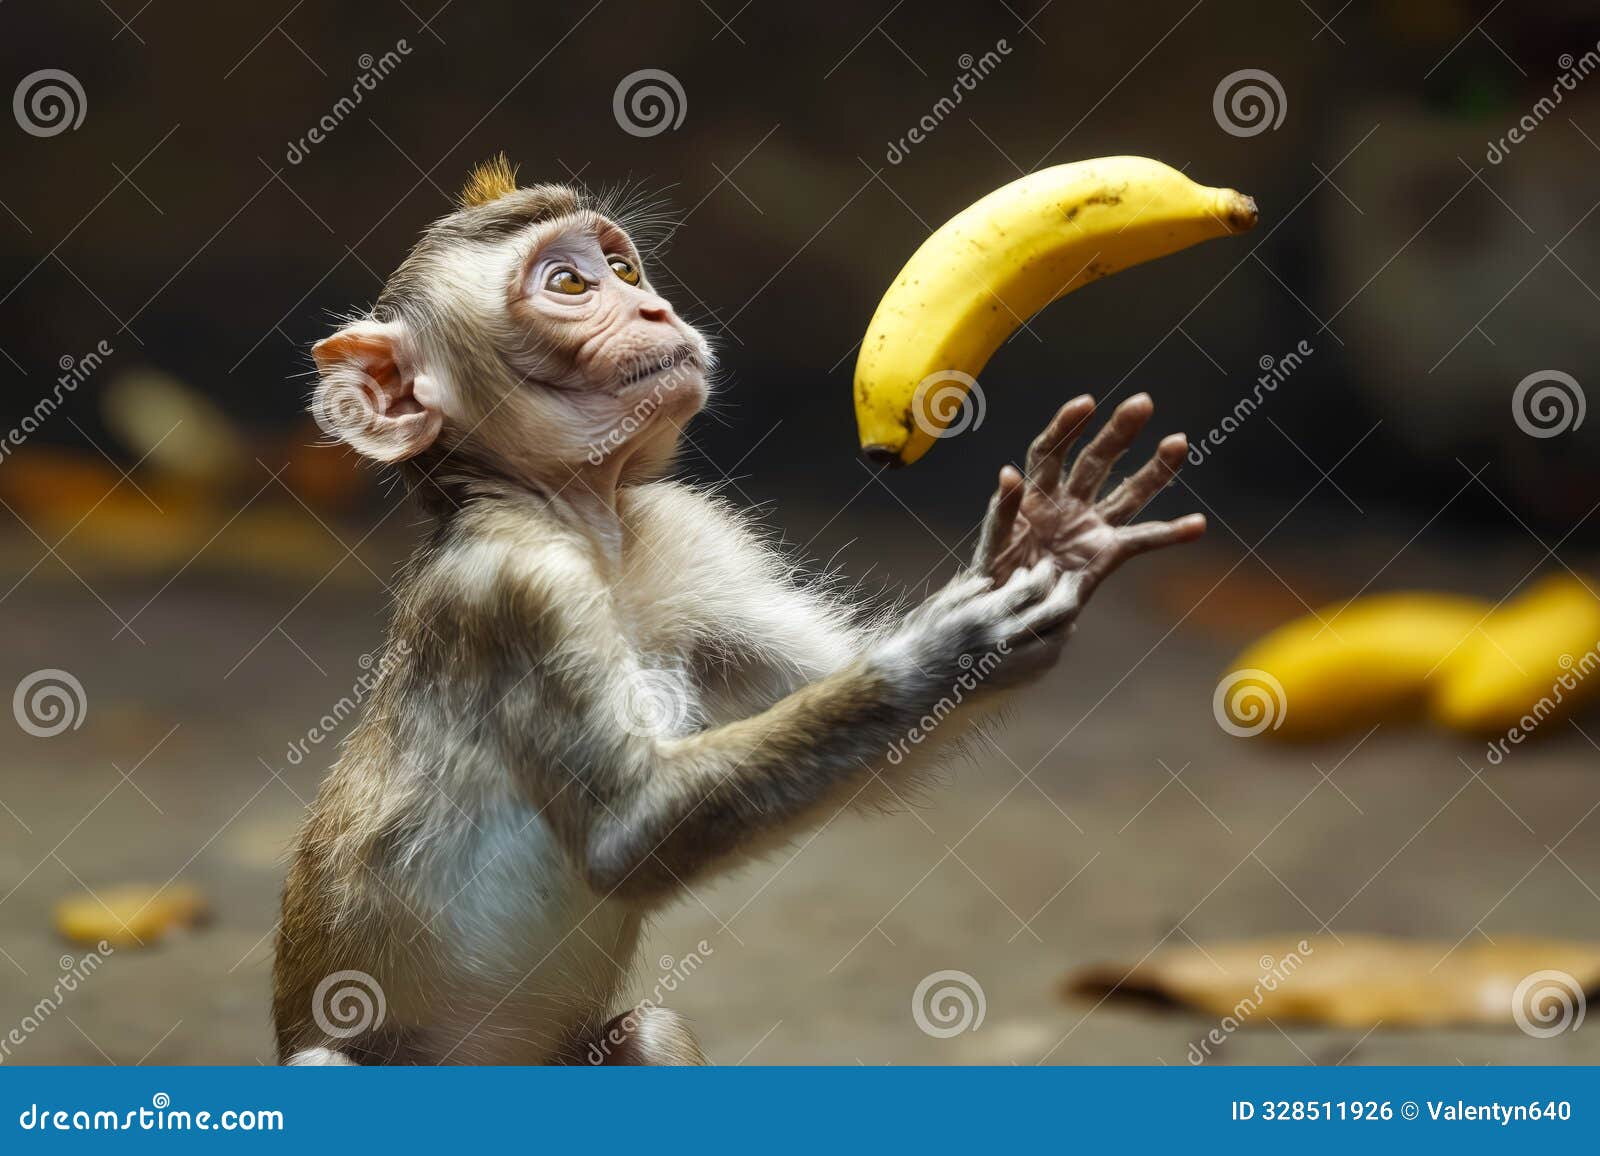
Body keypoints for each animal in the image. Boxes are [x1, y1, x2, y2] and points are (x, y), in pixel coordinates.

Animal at [272, 156, 1206, 1066]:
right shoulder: (514, 589)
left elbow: (879, 755)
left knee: (650, 1034)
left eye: (621, 268)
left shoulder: (695, 543)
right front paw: (955, 639)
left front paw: (1053, 539)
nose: (653, 307)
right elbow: (628, 831)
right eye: (569, 284)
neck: (587, 526)